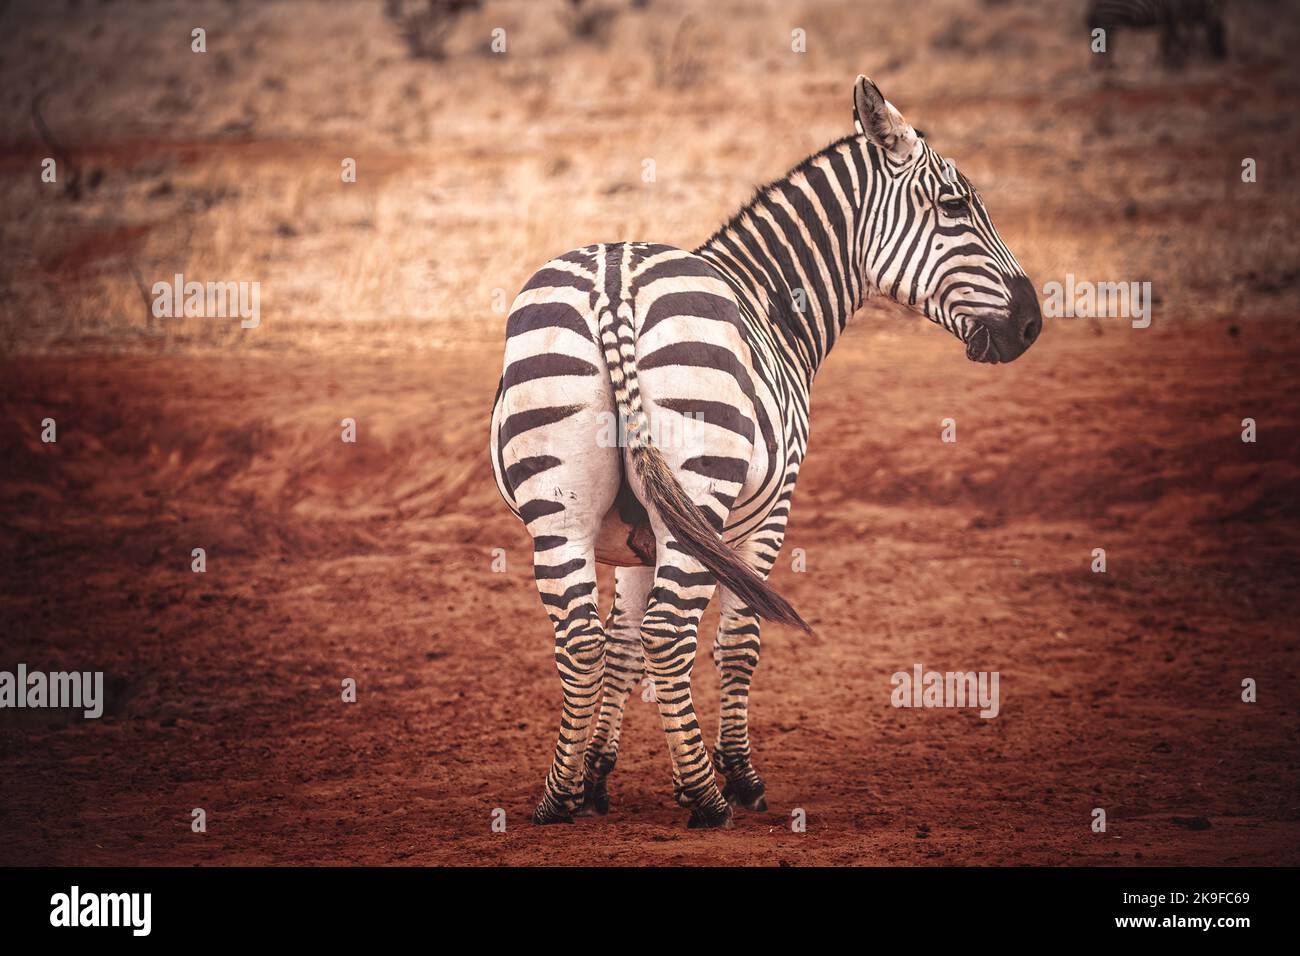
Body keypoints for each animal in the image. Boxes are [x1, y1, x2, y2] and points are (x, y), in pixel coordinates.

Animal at [489, 76, 1042, 829]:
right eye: (956, 206)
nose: (1032, 324)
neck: (773, 307)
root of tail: (615, 284)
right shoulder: (768, 513)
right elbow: (738, 641)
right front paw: (739, 777)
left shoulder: (639, 536)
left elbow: (622, 644)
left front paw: (600, 776)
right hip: (701, 490)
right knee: (670, 633)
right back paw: (707, 799)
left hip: (562, 512)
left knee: (582, 638)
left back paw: (557, 797)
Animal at [1086, 0, 1228, 66]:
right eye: (1222, 31)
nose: (1222, 57)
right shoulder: (1175, 14)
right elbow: (1176, 38)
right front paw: (1177, 61)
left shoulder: (1168, 18)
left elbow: (1167, 39)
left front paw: (1165, 61)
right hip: (1111, 18)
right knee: (1108, 43)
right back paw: (1110, 66)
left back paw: (1099, 66)